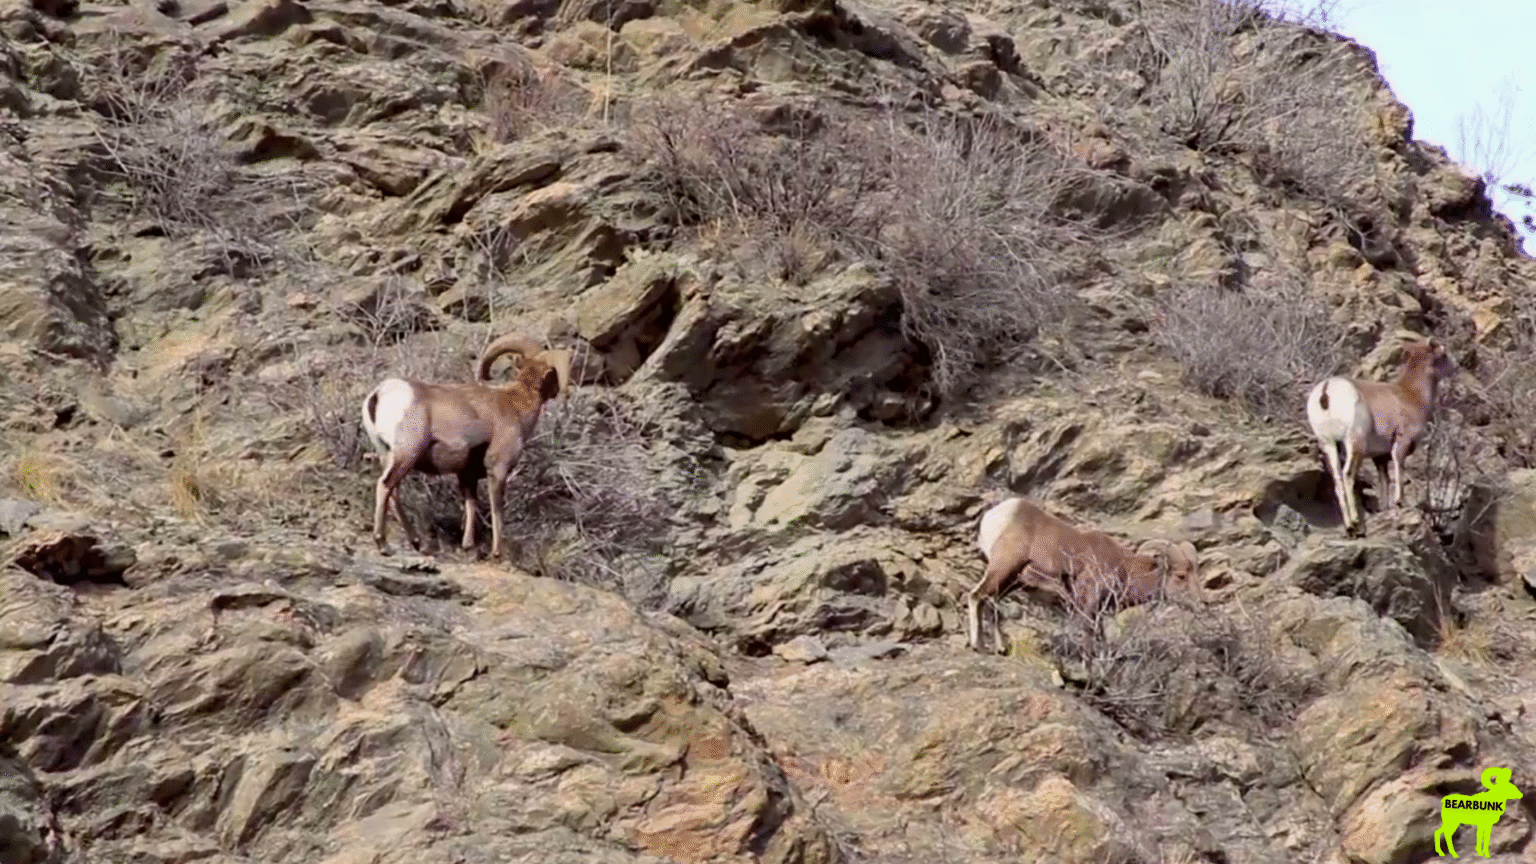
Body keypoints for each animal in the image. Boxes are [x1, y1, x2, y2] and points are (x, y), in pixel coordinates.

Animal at [360, 333, 573, 560]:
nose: (557, 391)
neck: (515, 406)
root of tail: (379, 394)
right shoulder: (497, 469)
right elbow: (497, 509)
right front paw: (497, 552)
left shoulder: (467, 475)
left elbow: (471, 506)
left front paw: (468, 546)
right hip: (407, 454)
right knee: (385, 486)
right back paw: (383, 544)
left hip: (388, 456)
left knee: (394, 494)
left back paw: (417, 543)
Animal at [966, 496, 1200, 654]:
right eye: (1181, 576)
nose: (1202, 603)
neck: (1122, 567)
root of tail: (993, 516)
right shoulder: (1089, 604)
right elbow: (1089, 640)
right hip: (1003, 567)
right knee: (976, 596)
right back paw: (978, 646)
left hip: (1010, 581)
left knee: (990, 602)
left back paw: (999, 649)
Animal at [1304, 338, 1457, 538]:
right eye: (1444, 353)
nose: (1456, 366)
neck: (1412, 396)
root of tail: (1326, 390)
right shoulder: (1400, 443)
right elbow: (1398, 471)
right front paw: (1400, 502)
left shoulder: (1380, 458)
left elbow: (1384, 482)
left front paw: (1385, 509)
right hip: (1355, 444)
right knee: (1348, 475)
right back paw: (1356, 523)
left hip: (1329, 445)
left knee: (1337, 479)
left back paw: (1350, 528)